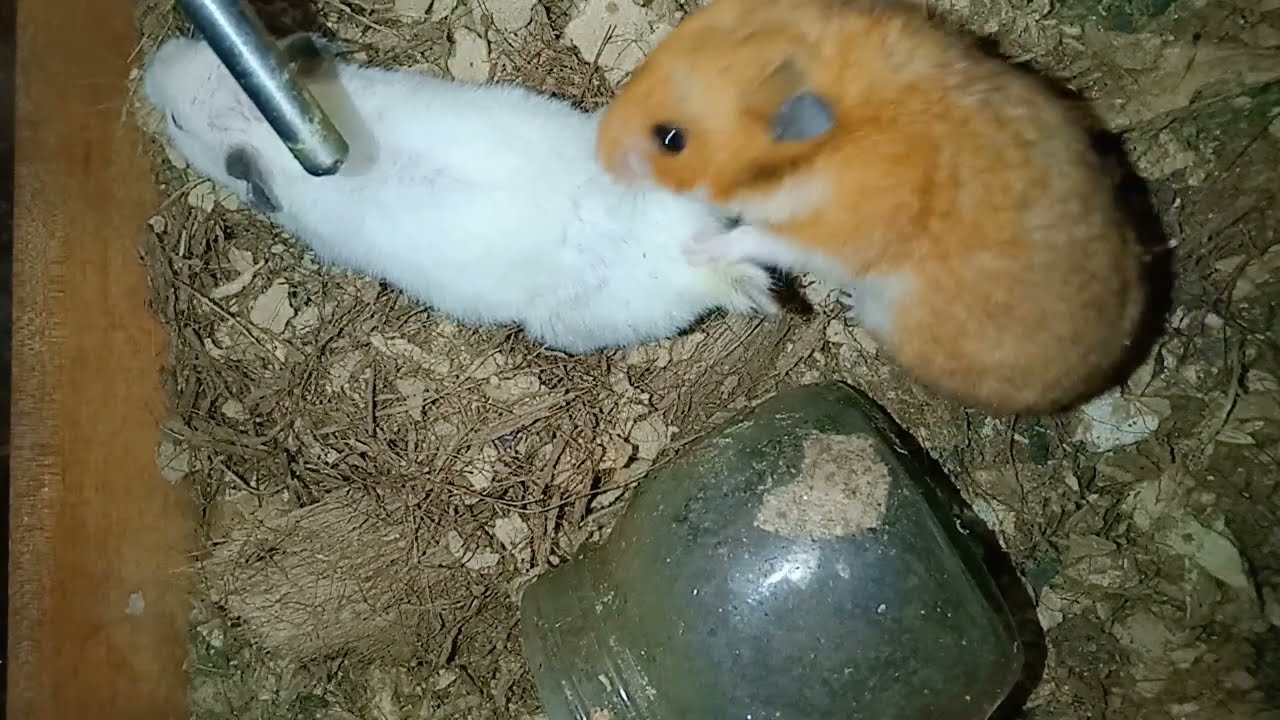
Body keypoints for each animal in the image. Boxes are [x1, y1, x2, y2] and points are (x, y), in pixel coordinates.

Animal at [595, 0, 1149, 416]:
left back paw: (847, 303)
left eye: (671, 139)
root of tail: (1100, 373)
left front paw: (697, 248)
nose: (598, 153)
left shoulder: (826, 234)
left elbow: (755, 237)